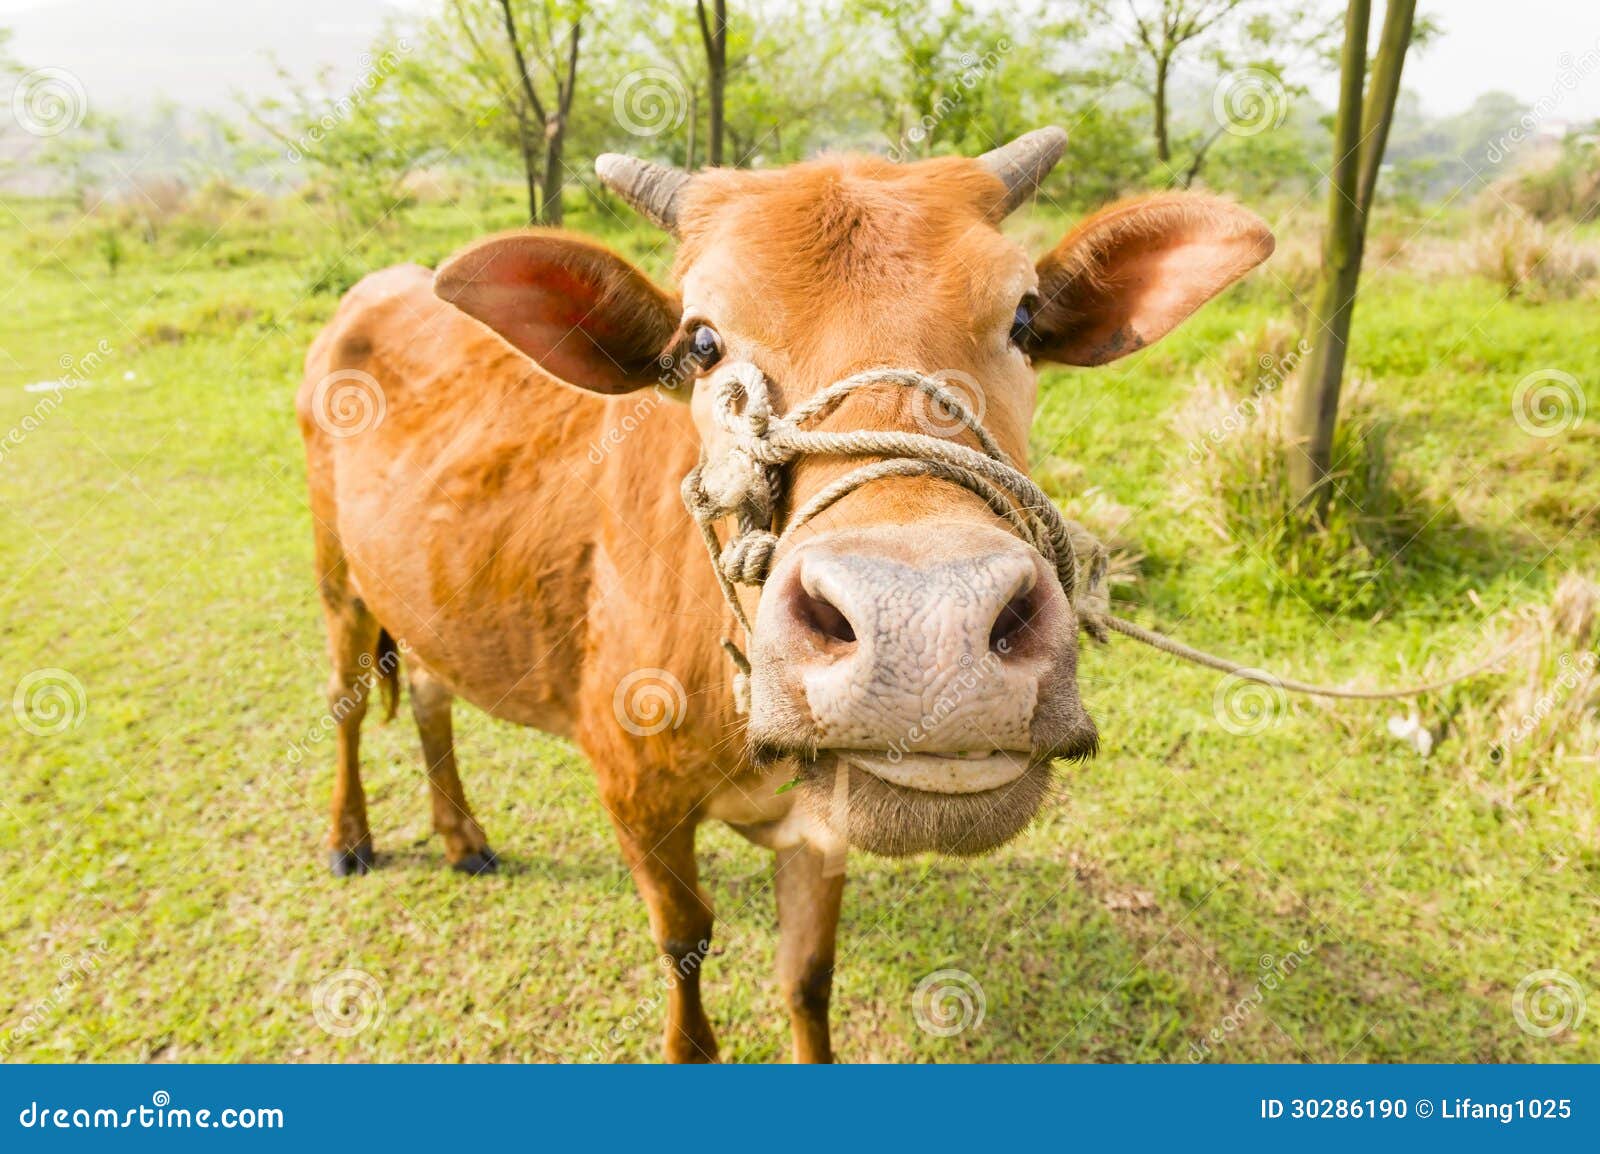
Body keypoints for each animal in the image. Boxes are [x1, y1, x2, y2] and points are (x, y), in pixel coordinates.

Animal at [296, 127, 1273, 1062]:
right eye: (700, 343)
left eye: (1026, 317)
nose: (930, 629)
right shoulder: (634, 796)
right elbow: (685, 945)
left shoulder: (821, 832)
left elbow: (807, 977)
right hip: (337, 575)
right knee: (347, 702)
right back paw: (349, 839)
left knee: (430, 694)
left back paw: (462, 837)